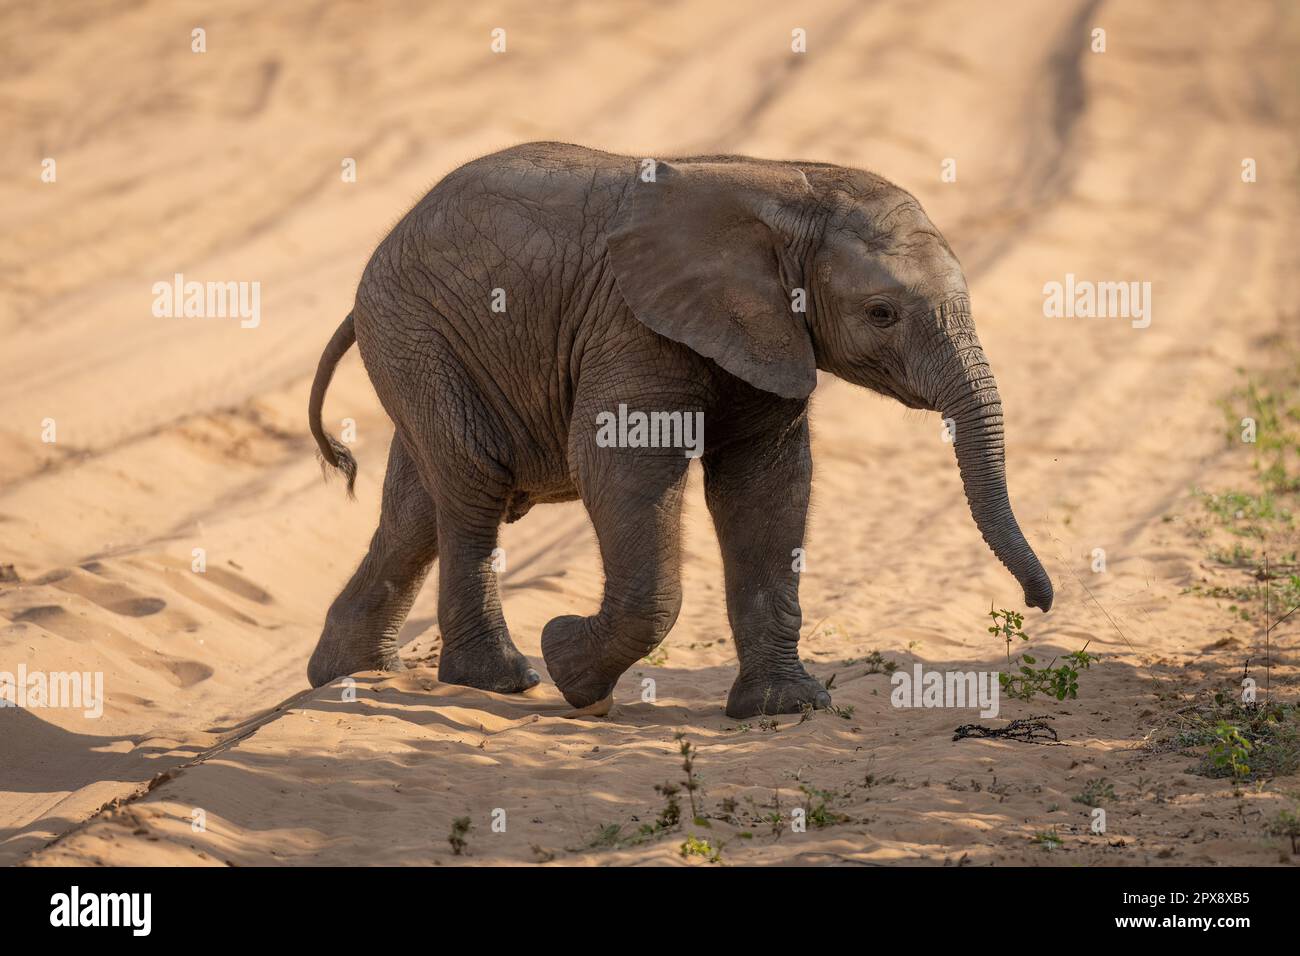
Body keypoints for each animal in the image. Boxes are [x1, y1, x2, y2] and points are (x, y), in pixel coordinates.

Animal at [305, 142, 1053, 719]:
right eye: (882, 314)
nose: (1037, 604)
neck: (793, 191)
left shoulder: (768, 337)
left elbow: (767, 489)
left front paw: (785, 708)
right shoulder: (632, 325)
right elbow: (617, 461)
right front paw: (568, 665)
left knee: (418, 505)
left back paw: (349, 674)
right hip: (416, 331)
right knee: (474, 478)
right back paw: (502, 679)